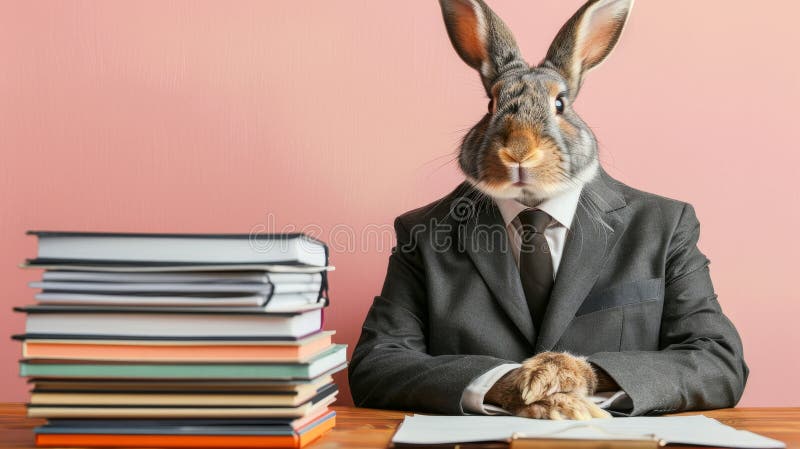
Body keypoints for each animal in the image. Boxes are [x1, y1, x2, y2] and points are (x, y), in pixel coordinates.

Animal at [439, 0, 634, 419]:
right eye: (491, 104)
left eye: (560, 103)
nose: (518, 150)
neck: (534, 205)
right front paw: (547, 396)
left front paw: (554, 386)